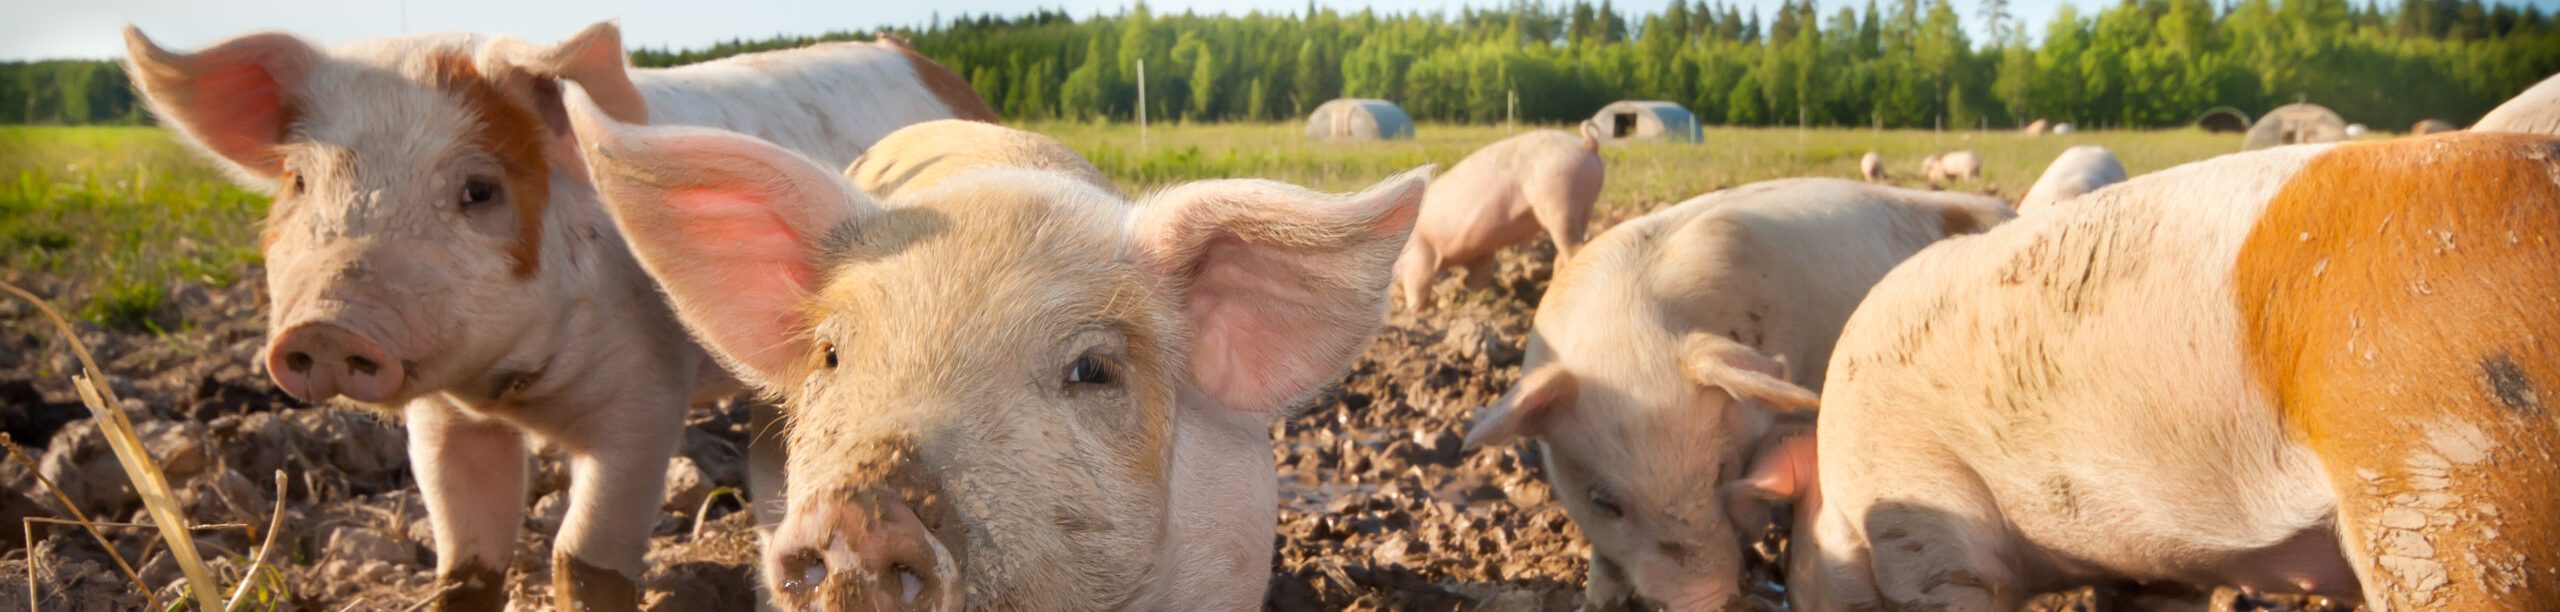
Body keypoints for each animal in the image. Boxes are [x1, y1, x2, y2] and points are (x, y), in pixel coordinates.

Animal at [123, 22, 993, 609]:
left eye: (479, 190)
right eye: (300, 183)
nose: (328, 327)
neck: (513, 392)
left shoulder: (646, 400)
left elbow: (583, 554)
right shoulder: (442, 419)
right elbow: (464, 554)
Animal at [1393, 121, 1606, 311]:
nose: (1396, 298)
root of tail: (1587, 144)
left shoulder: (1419, 253)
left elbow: (1419, 282)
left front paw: (1418, 311)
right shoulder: (1480, 251)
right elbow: (1480, 276)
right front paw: (1477, 298)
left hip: (1559, 200)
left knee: (1575, 248)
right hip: (1584, 205)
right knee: (1563, 253)